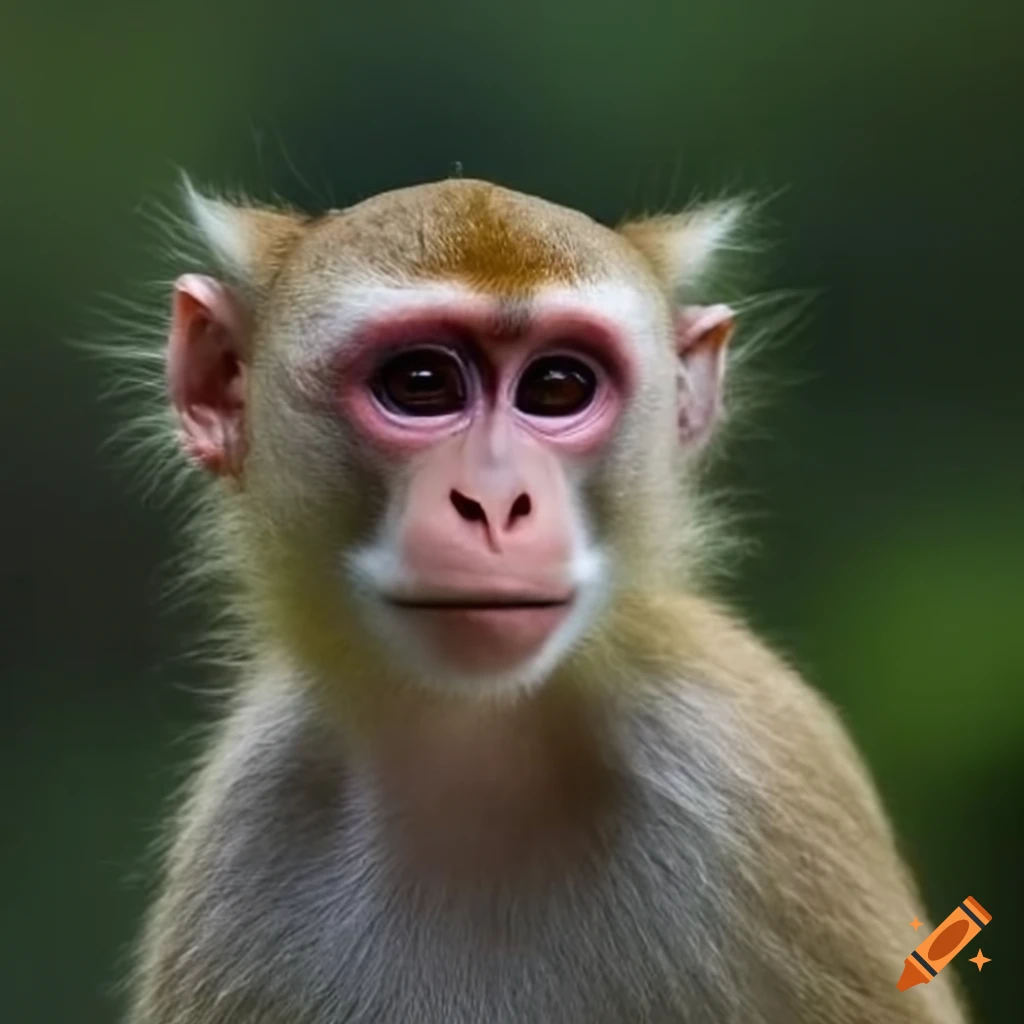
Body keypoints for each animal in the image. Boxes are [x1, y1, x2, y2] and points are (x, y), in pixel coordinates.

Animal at [120, 176, 968, 1024]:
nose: (496, 503)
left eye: (557, 387)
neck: (476, 756)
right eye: (422, 385)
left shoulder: (751, 766)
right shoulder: (249, 821)